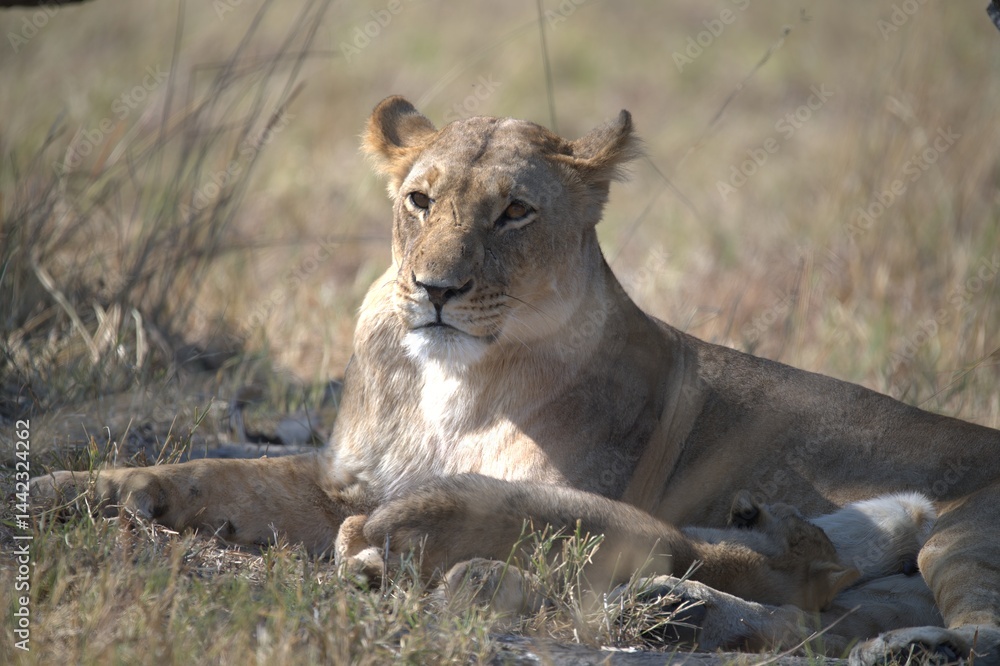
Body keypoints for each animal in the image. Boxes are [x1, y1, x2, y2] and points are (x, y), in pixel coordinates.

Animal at [32, 96, 1000, 663]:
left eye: (515, 211)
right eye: (420, 200)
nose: (436, 289)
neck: (451, 388)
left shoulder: (558, 501)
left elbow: (541, 546)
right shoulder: (348, 485)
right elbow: (211, 472)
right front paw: (76, 488)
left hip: (962, 536)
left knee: (967, 627)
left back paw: (911, 644)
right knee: (808, 617)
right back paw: (684, 611)